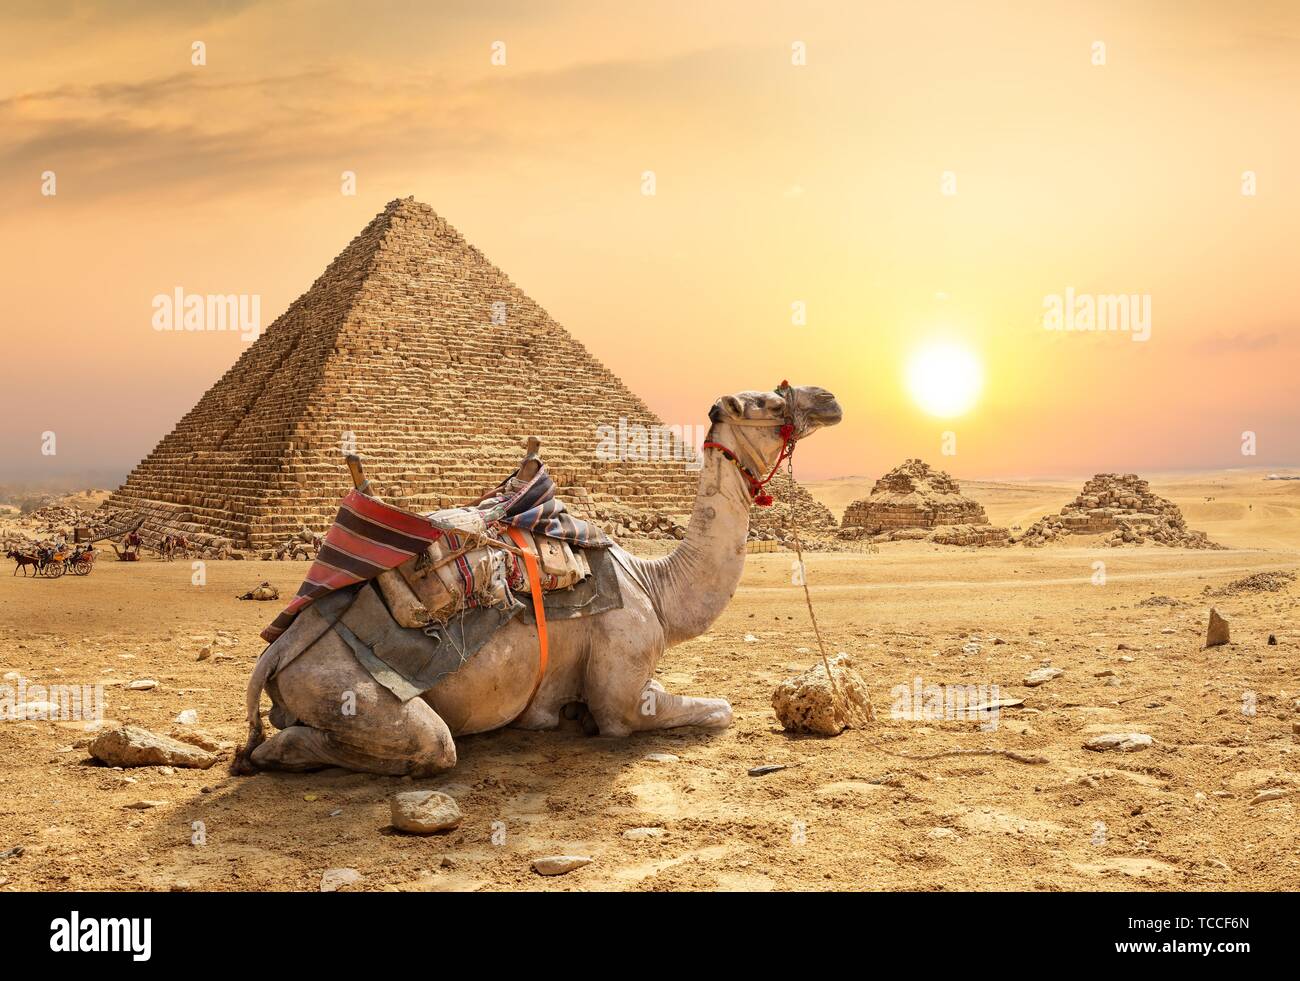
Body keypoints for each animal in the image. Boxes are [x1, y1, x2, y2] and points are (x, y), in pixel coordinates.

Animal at [234, 384, 842, 776]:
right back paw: (272, 755)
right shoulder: (624, 688)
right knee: (428, 745)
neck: (657, 587)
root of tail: (278, 650)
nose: (829, 399)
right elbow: (717, 710)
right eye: (770, 402)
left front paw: (564, 718)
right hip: (344, 689)